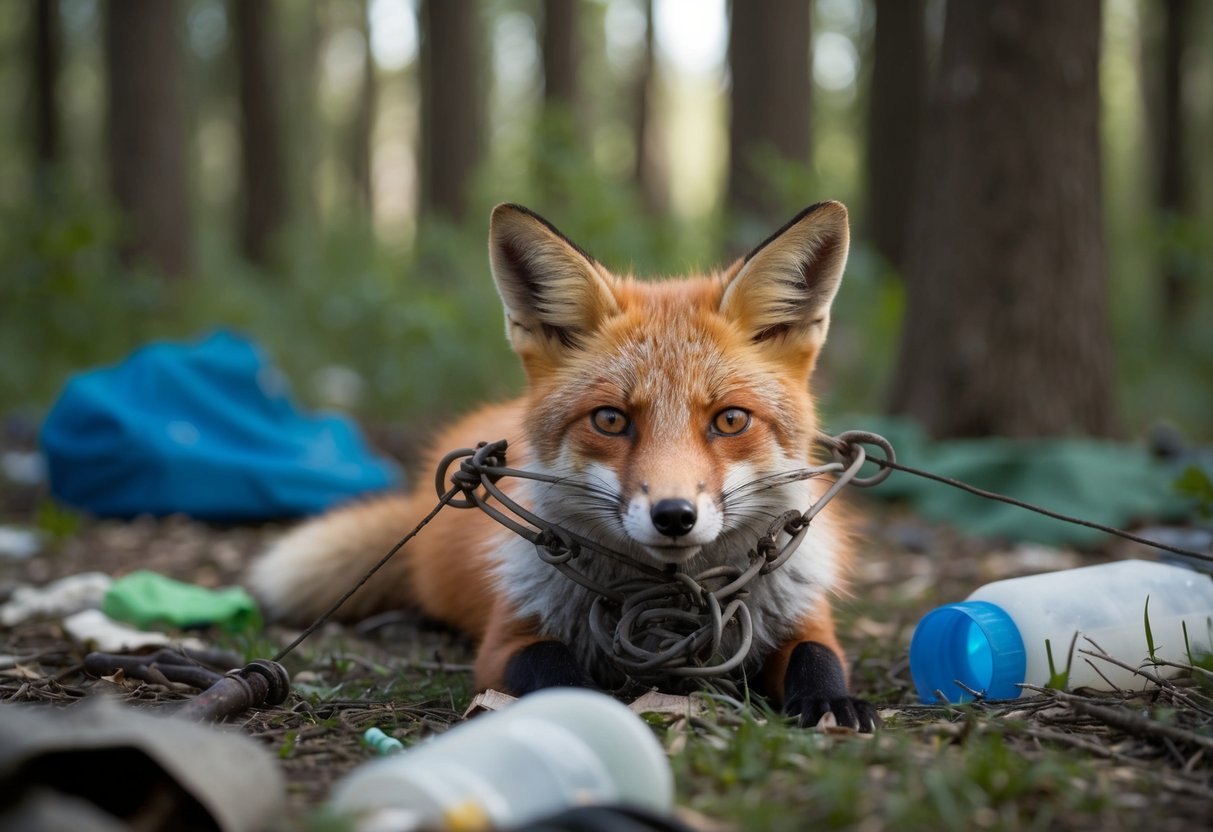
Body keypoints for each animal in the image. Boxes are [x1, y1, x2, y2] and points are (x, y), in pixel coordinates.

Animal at [248, 200, 877, 731]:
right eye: (611, 420)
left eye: (730, 420)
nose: (674, 515)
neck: (669, 601)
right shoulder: (505, 642)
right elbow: (552, 669)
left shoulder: (803, 616)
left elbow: (818, 655)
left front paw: (833, 701)